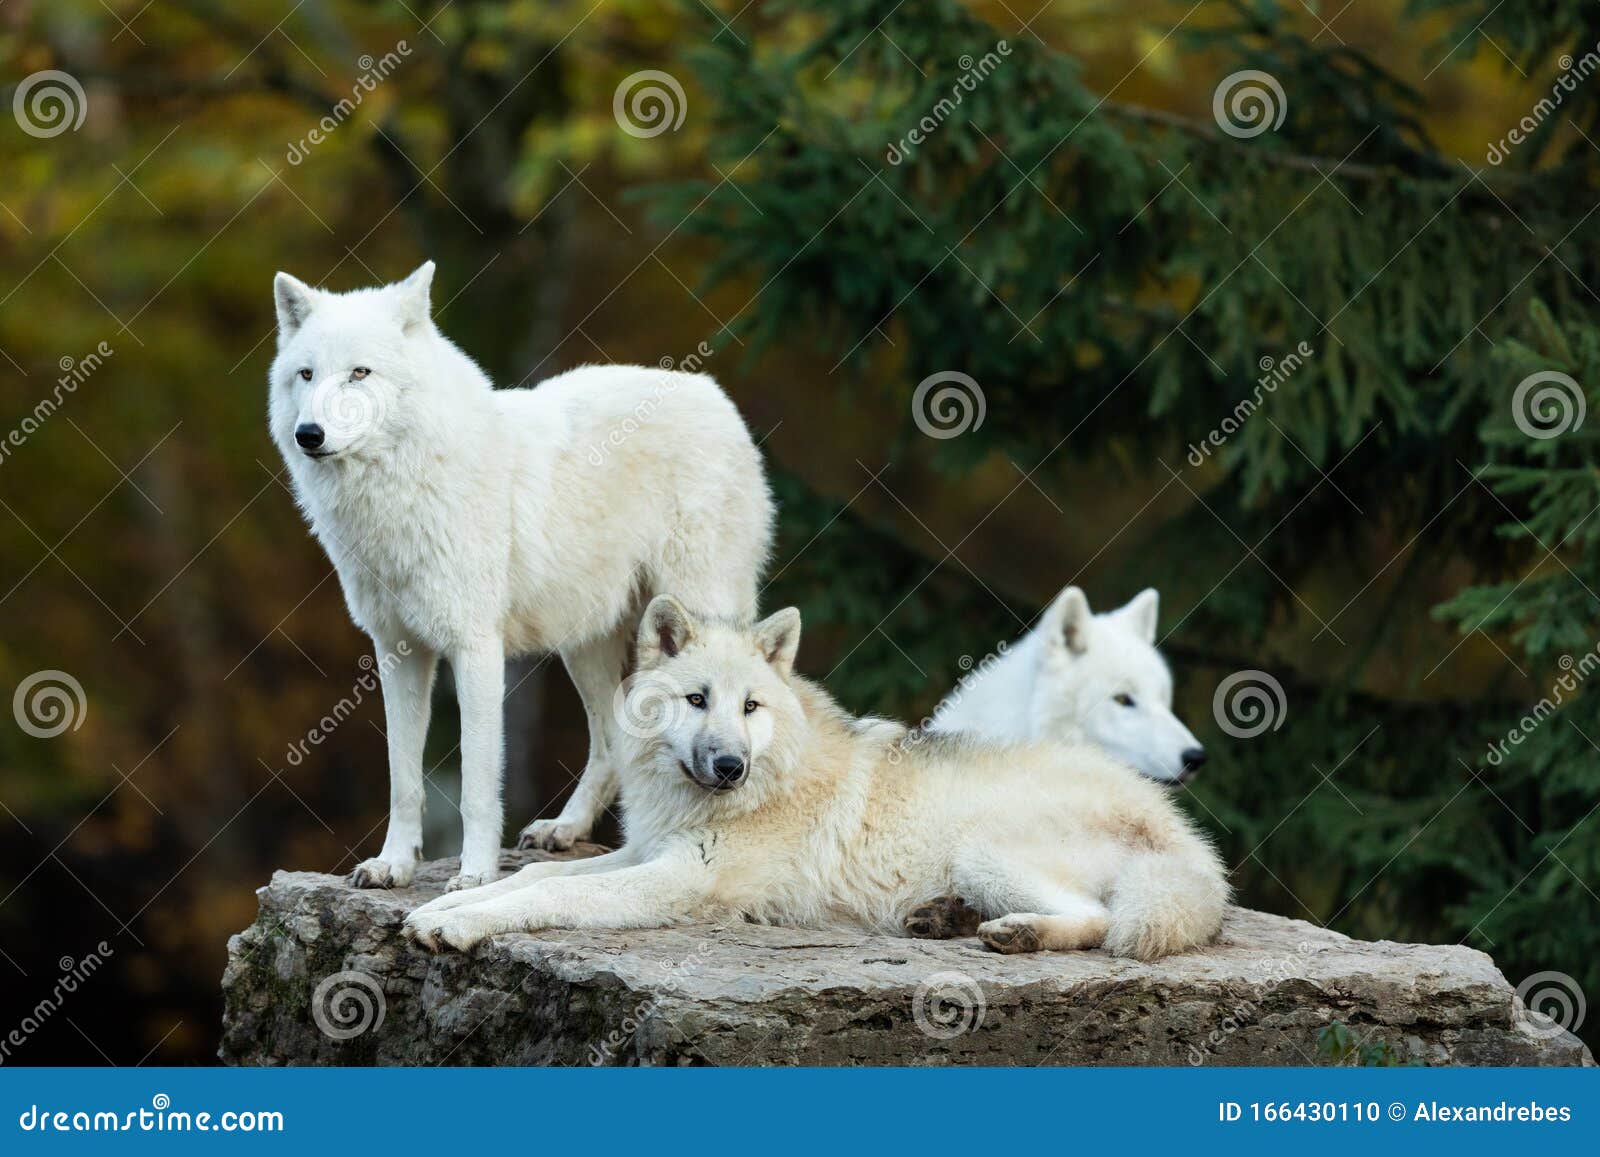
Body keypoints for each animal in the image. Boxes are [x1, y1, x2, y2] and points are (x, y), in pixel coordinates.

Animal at [268, 263, 772, 891]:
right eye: (306, 374)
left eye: (360, 373)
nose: (308, 434)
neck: (400, 488)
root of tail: (711, 392)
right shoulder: (398, 650)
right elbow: (403, 778)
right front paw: (393, 864)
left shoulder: (476, 648)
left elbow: (478, 784)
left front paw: (475, 875)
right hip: (587, 646)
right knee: (610, 741)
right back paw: (566, 829)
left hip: (694, 618)